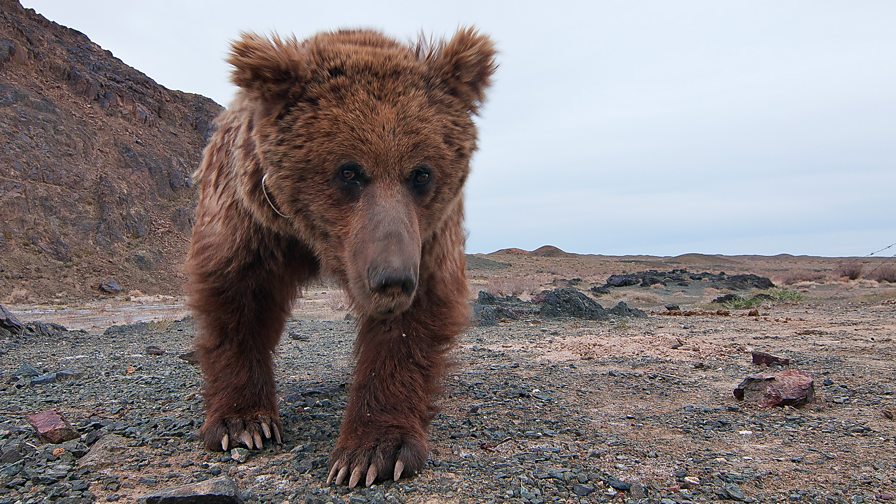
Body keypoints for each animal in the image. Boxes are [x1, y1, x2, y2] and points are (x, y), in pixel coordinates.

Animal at [185, 28, 496, 488]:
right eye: (349, 171)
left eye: (421, 173)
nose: (392, 278)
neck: (311, 237)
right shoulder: (249, 217)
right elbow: (236, 299)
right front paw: (242, 424)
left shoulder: (427, 234)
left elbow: (413, 319)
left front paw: (371, 453)